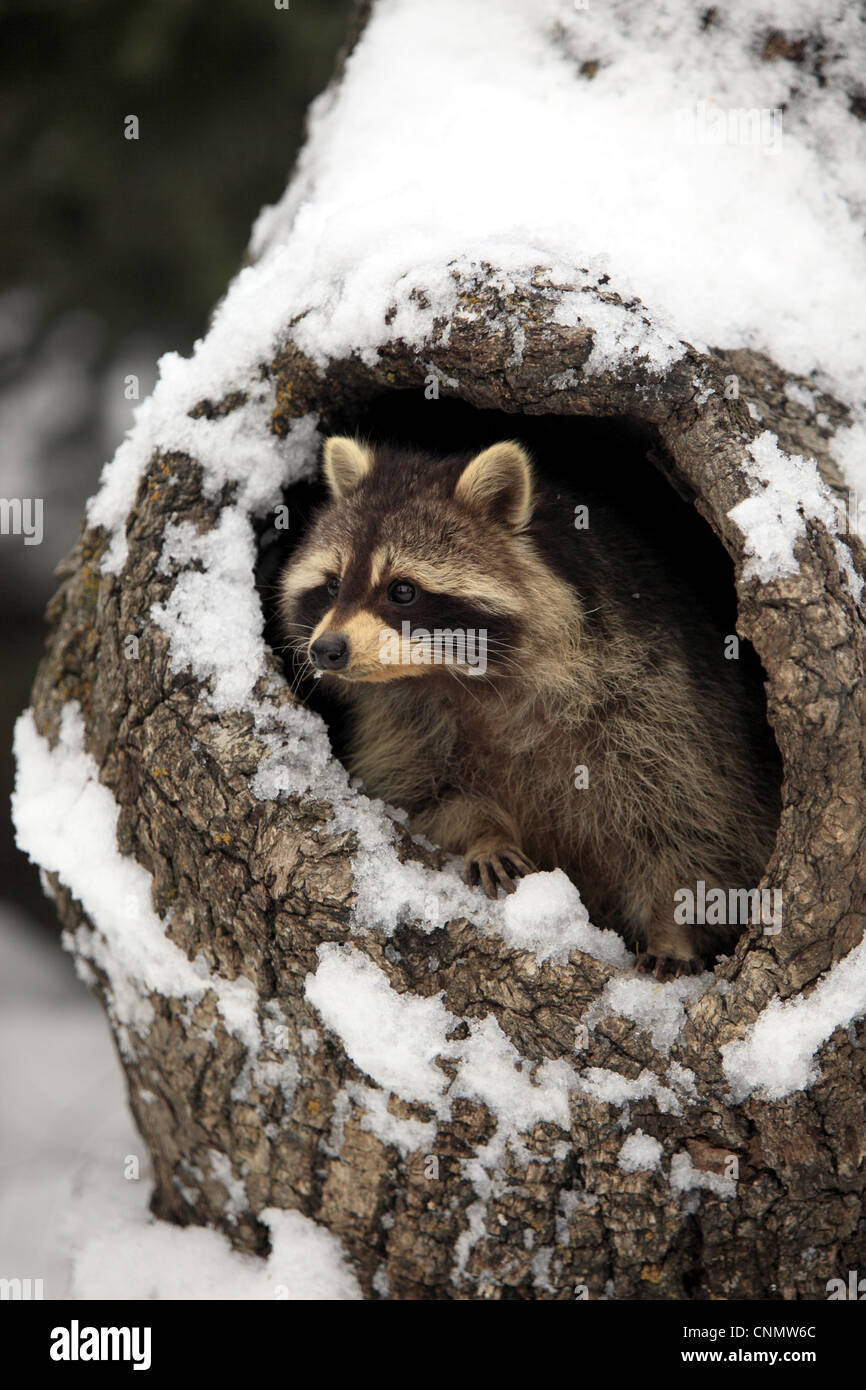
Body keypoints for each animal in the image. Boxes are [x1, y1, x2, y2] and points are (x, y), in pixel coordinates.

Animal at [279, 434, 780, 978]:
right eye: (332, 584)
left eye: (402, 590)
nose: (326, 650)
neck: (458, 679)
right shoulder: (401, 722)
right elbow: (424, 794)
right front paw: (483, 832)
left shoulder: (664, 701)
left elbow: (695, 825)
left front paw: (673, 925)